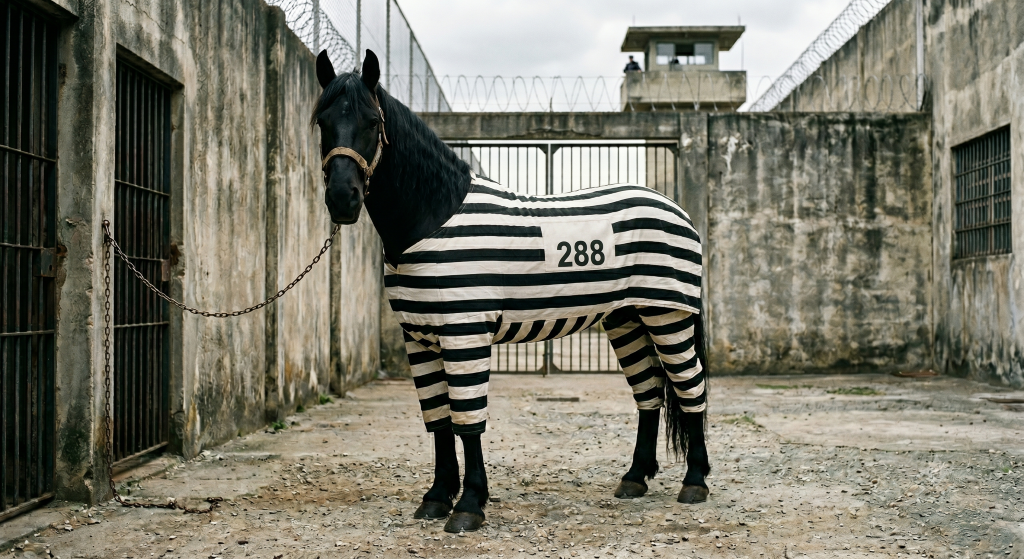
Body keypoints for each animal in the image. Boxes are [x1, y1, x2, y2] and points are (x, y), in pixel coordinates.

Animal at [312, 49, 711, 533]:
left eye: (372, 122)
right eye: (321, 122)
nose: (342, 200)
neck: (433, 215)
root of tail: (673, 206)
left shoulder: (464, 329)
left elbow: (467, 419)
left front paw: (469, 504)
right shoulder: (418, 336)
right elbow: (438, 420)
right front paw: (437, 497)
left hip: (667, 314)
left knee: (691, 388)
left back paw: (695, 482)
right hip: (626, 318)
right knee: (650, 391)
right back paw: (635, 478)